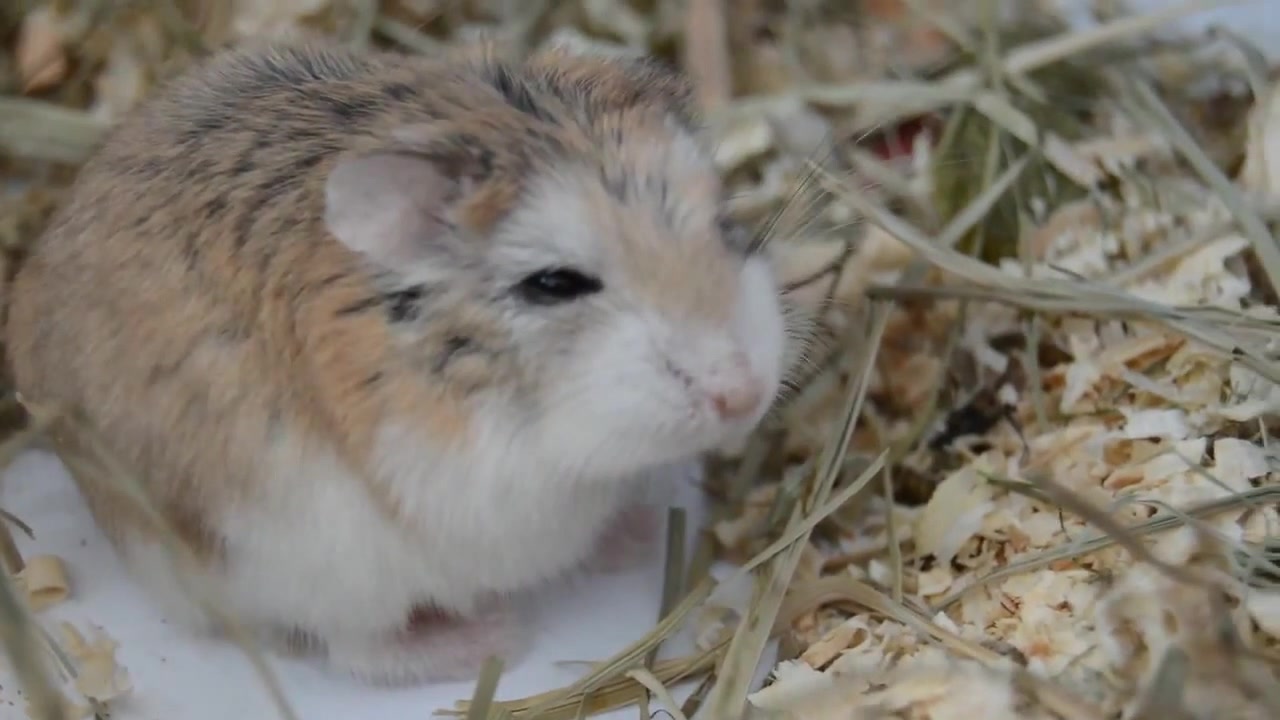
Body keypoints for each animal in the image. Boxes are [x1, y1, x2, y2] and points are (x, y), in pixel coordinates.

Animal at [4, 38, 792, 685]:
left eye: (724, 224)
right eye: (554, 283)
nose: (742, 396)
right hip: (317, 561)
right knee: (360, 651)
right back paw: (494, 635)